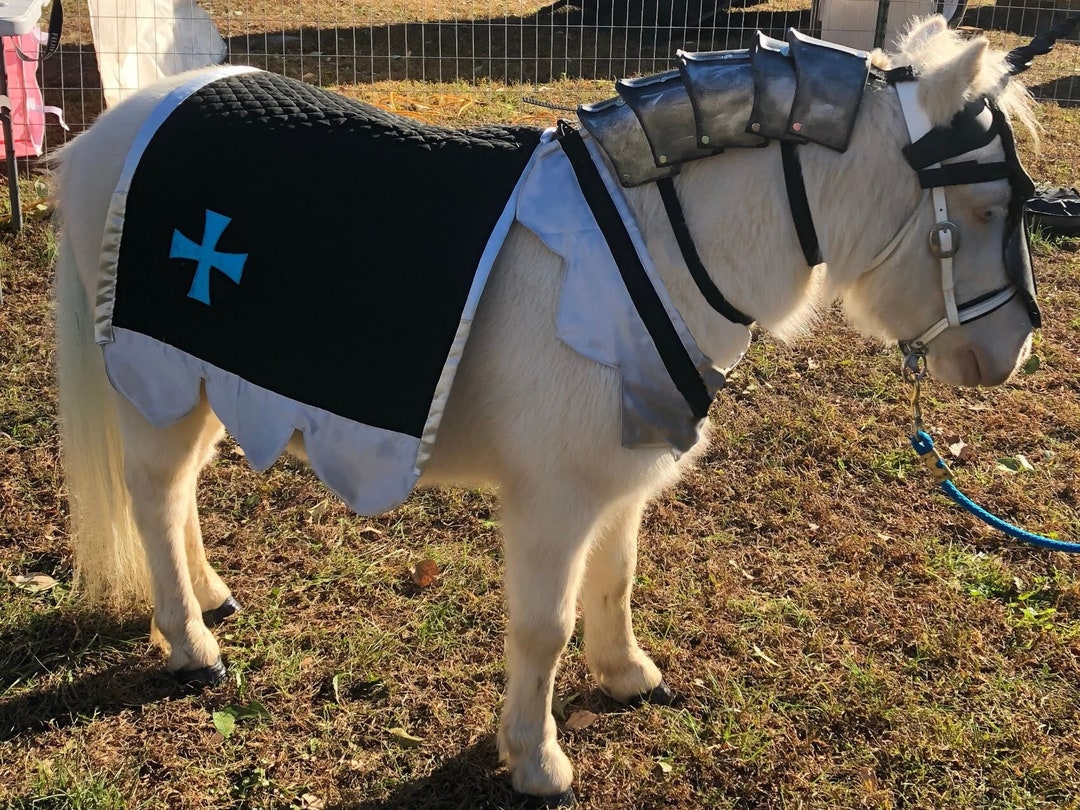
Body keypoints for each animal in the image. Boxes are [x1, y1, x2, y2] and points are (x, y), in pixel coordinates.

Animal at [50, 16, 1039, 807]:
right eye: (985, 206)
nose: (1011, 353)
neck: (651, 245)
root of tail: (113, 130)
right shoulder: (551, 502)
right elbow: (543, 624)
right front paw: (534, 759)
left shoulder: (622, 479)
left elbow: (616, 580)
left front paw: (626, 674)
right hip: (154, 386)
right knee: (154, 497)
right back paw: (187, 641)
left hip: (201, 385)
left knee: (179, 497)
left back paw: (209, 597)